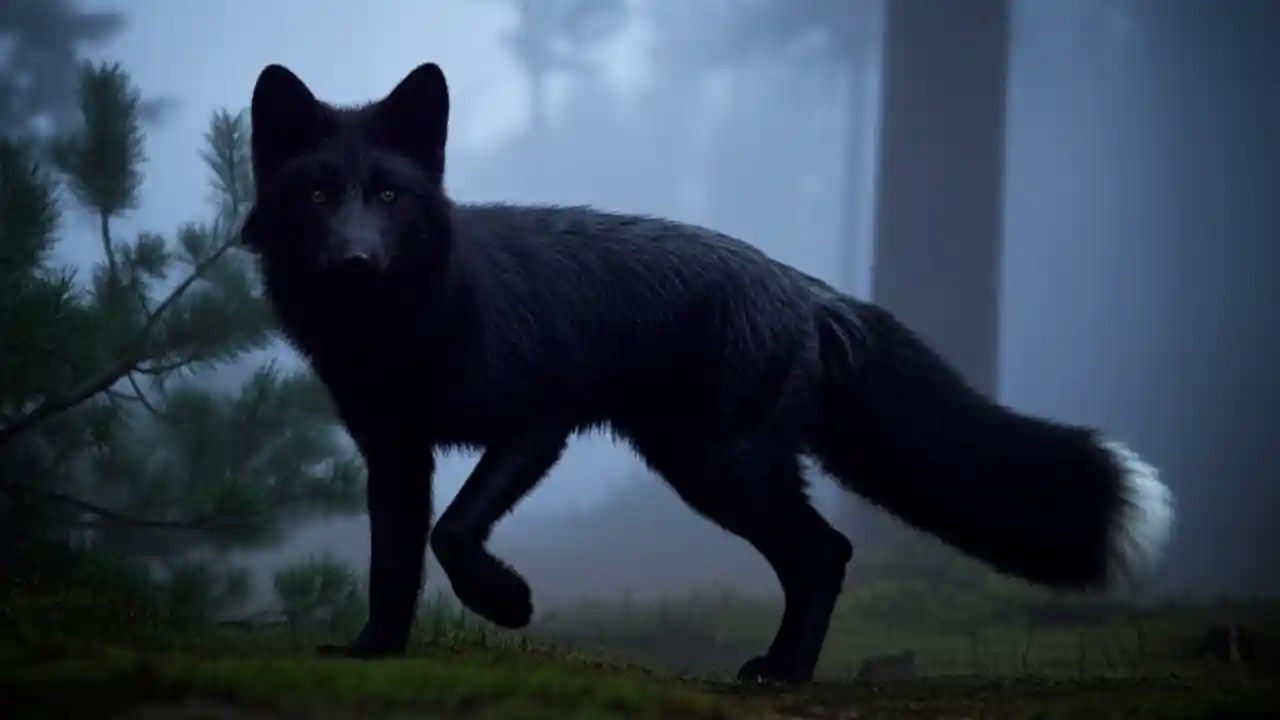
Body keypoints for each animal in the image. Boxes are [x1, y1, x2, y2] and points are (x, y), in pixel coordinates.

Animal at [240, 62, 1175, 684]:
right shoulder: (393, 450)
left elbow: (454, 532)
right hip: (711, 466)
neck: (409, 327)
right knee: (814, 558)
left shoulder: (537, 420)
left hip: (717, 466)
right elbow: (393, 560)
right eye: (318, 195)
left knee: (825, 552)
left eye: (389, 197)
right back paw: (776, 665)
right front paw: (374, 652)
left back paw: (786, 675)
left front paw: (507, 603)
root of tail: (810, 289)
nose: (356, 262)